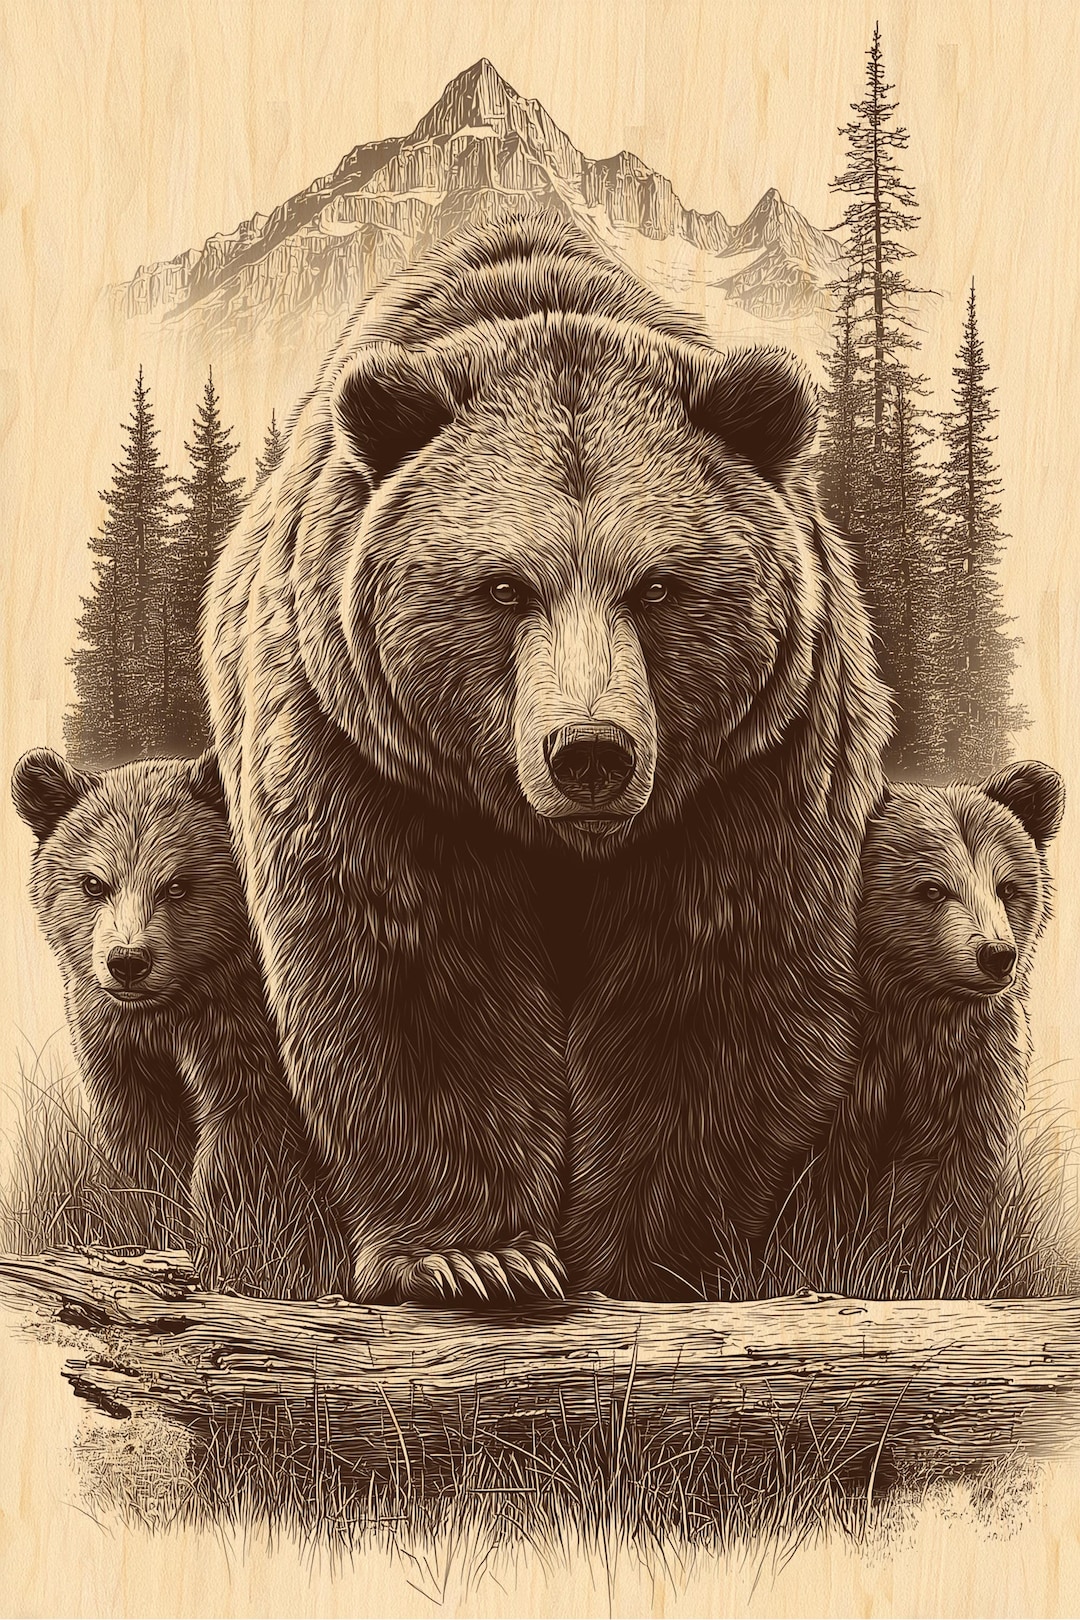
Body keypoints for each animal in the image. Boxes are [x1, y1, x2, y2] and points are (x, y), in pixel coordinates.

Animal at [12, 746, 352, 1299]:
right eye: (93, 882)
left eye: (176, 884)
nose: (128, 961)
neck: (175, 1002)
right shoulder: (118, 1039)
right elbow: (148, 1139)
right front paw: (165, 1230)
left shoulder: (240, 1025)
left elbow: (244, 1132)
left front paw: (247, 1262)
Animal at [204, 212, 890, 1304]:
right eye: (502, 587)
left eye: (658, 587)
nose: (591, 753)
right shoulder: (367, 754)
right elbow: (413, 972)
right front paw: (472, 1254)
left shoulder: (752, 768)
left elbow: (707, 986)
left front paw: (653, 1257)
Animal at [826, 760, 1065, 1256]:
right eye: (933, 888)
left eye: (1007, 888)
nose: (997, 955)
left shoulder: (974, 1067)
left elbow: (946, 1170)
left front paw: (918, 1253)